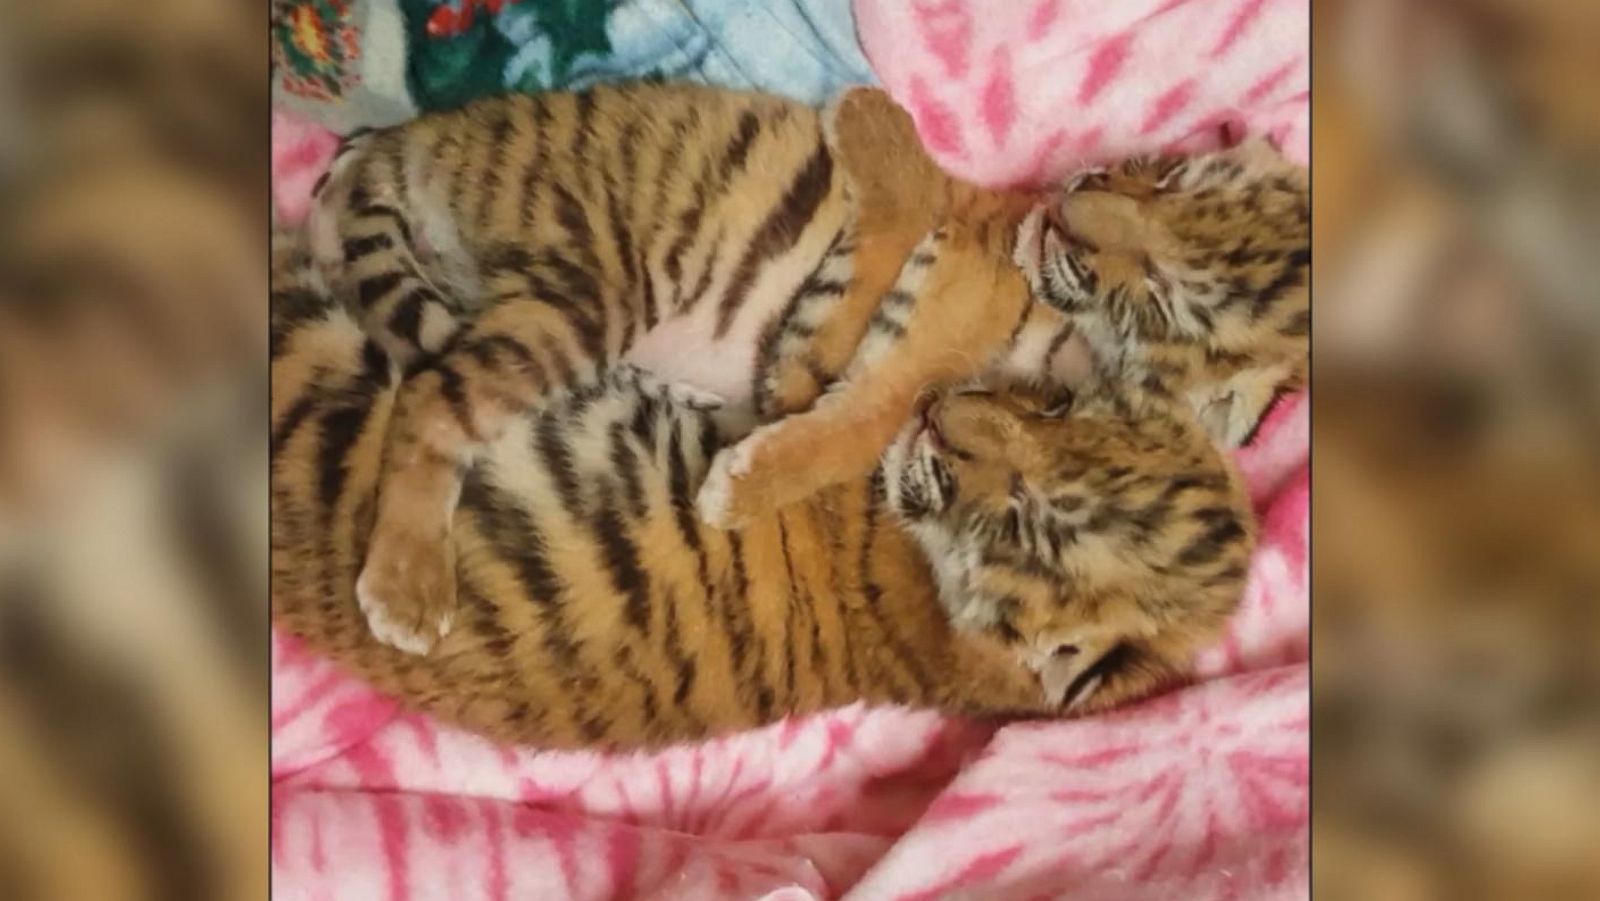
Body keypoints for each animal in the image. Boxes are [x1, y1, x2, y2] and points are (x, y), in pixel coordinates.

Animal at [304, 83, 1303, 657]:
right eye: (1171, 180)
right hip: (591, 283)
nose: (1075, 203)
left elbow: (852, 397)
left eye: (1164, 299)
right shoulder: (944, 291)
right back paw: (407, 585)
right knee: (432, 398)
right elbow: (863, 403)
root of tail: (418, 139)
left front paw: (752, 459)